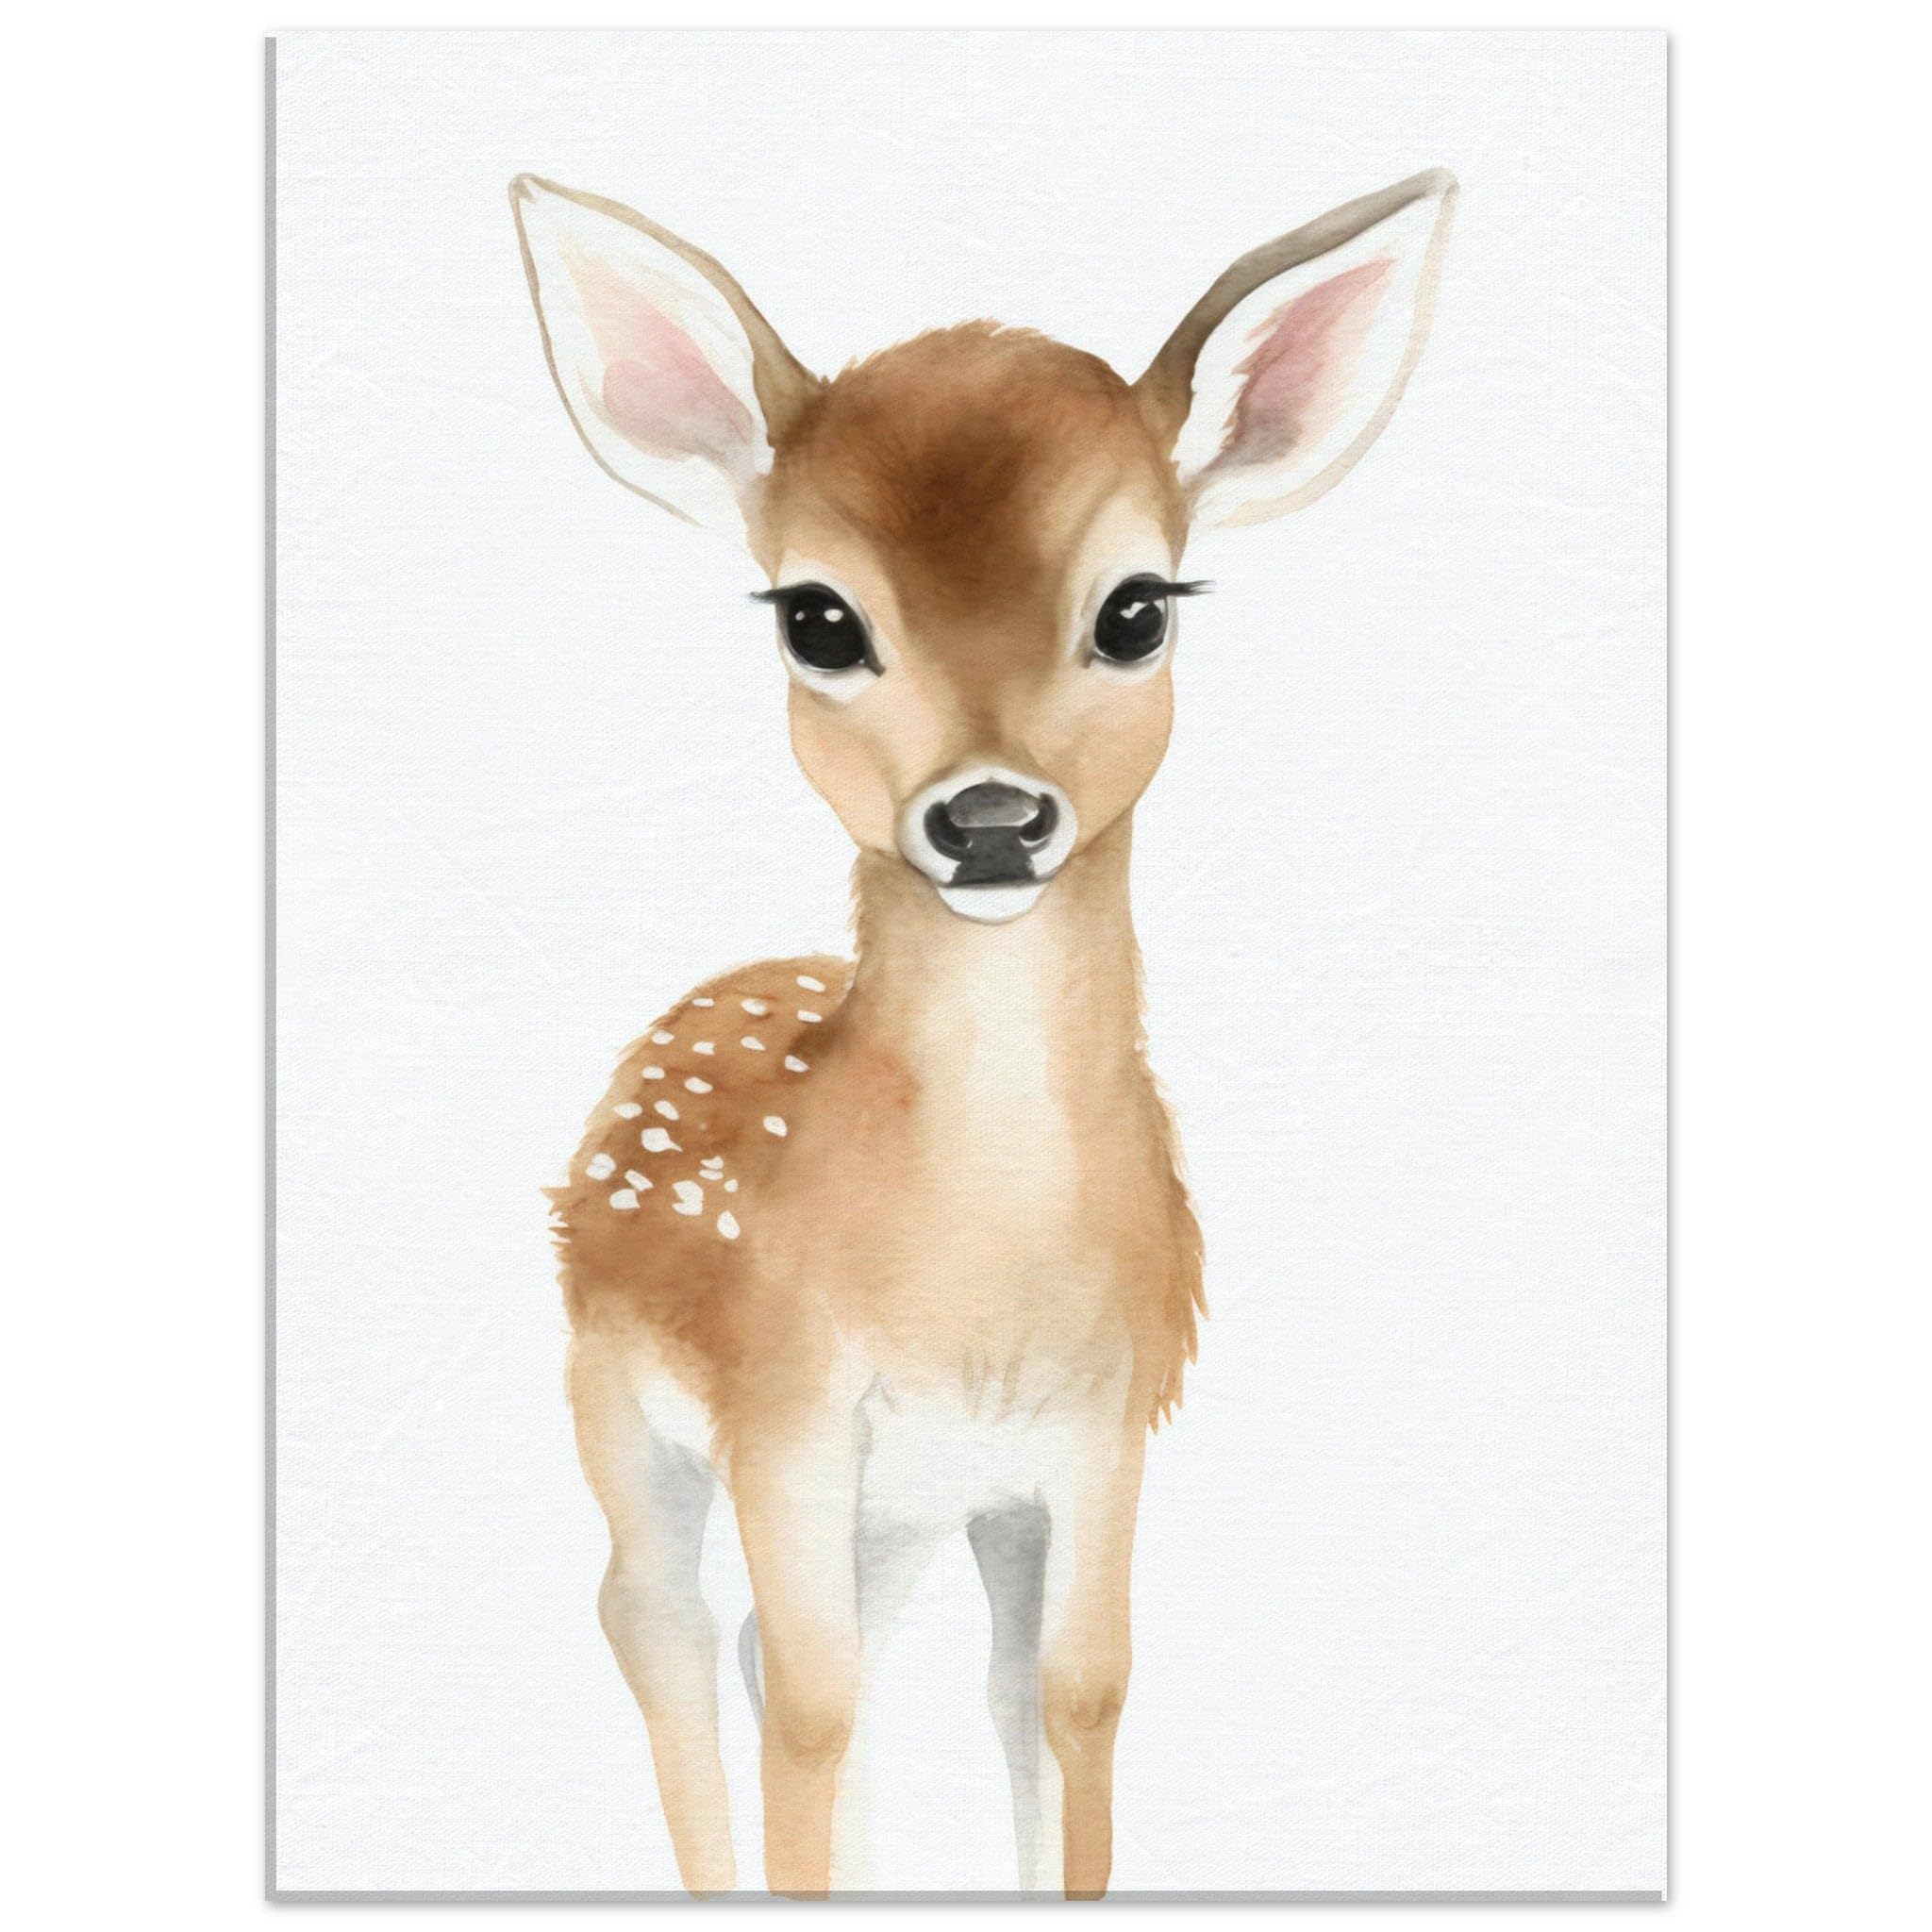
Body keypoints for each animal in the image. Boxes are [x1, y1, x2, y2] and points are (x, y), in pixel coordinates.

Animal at [511, 165, 1454, 1900]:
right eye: (818, 616)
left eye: (1136, 606)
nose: (994, 819)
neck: (973, 1290)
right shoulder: (788, 1415)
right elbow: (815, 1713)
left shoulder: (1095, 1433)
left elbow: (1064, 1697)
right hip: (614, 1385)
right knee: (665, 1620)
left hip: (894, 1499)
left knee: (784, 1652)